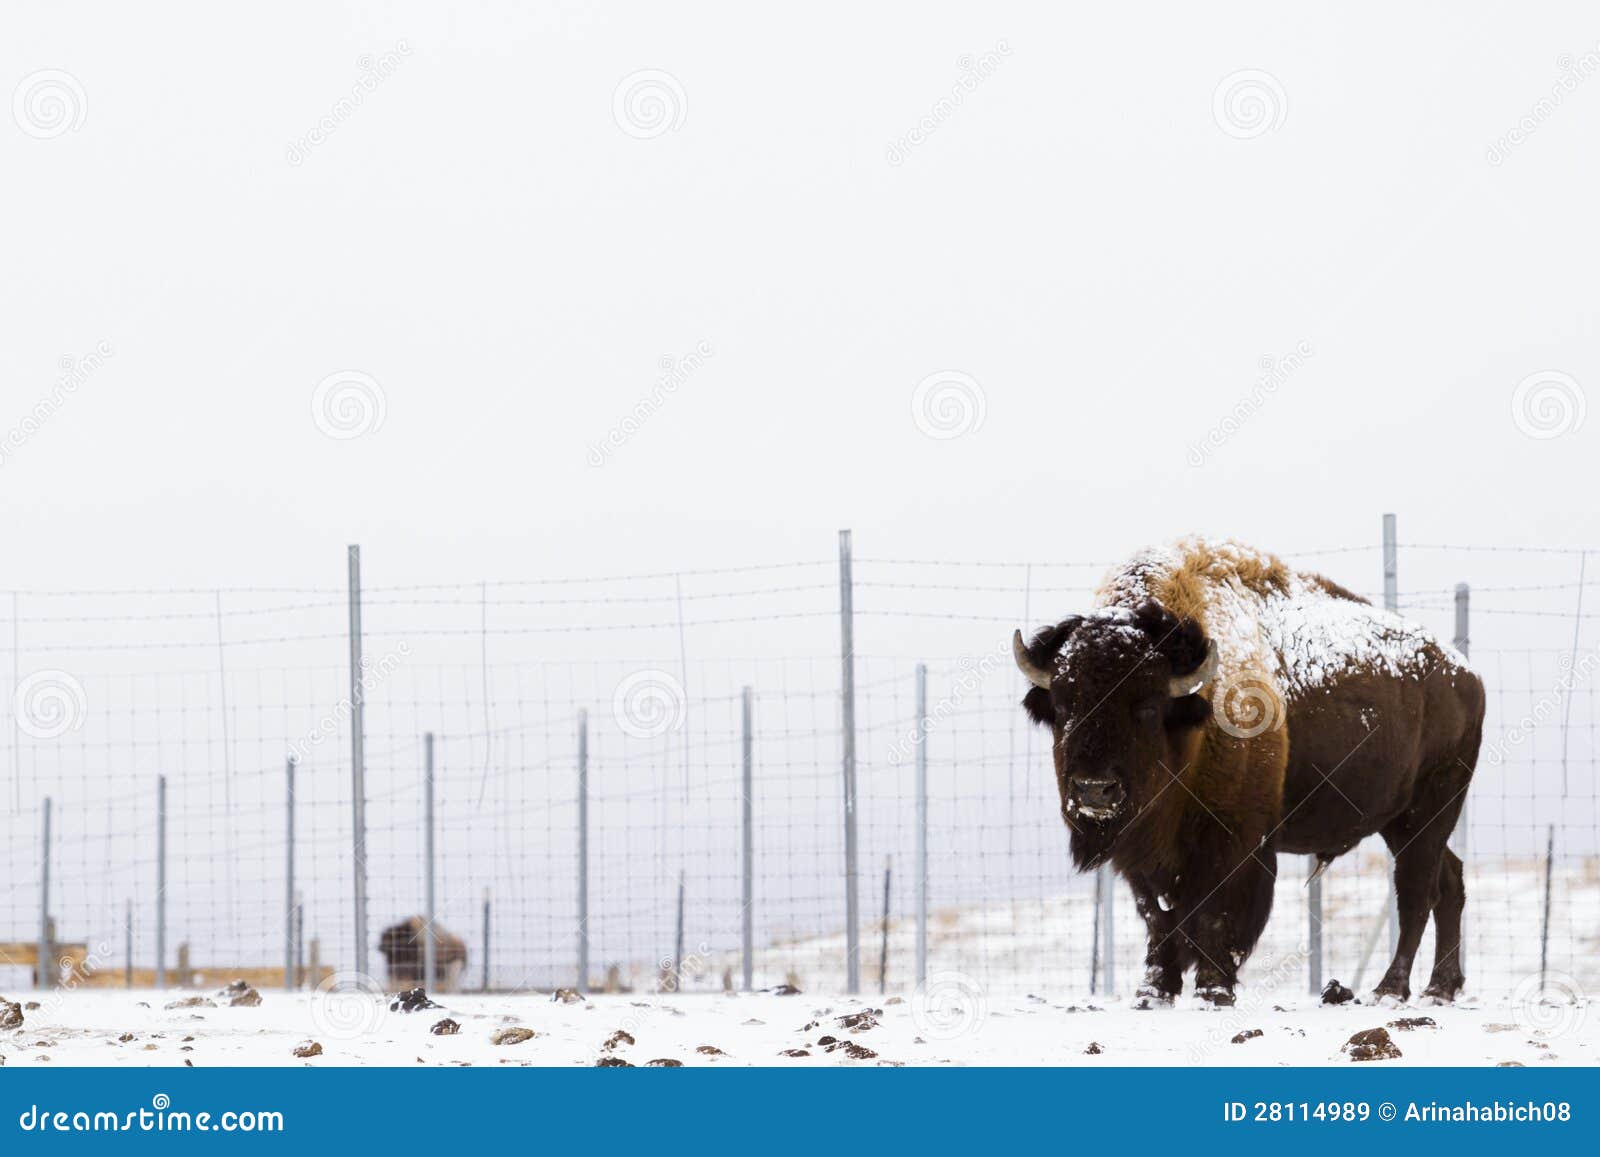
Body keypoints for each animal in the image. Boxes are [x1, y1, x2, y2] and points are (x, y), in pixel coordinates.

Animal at [1014, 538, 1483, 1006]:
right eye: (1061, 707)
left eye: (1146, 707)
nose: (1094, 791)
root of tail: (1466, 675)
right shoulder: (1141, 853)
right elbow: (1157, 917)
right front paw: (1153, 992)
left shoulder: (1233, 841)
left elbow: (1214, 913)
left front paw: (1214, 988)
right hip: (1402, 822)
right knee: (1449, 881)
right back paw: (1440, 988)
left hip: (1428, 813)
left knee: (1417, 892)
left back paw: (1391, 990)